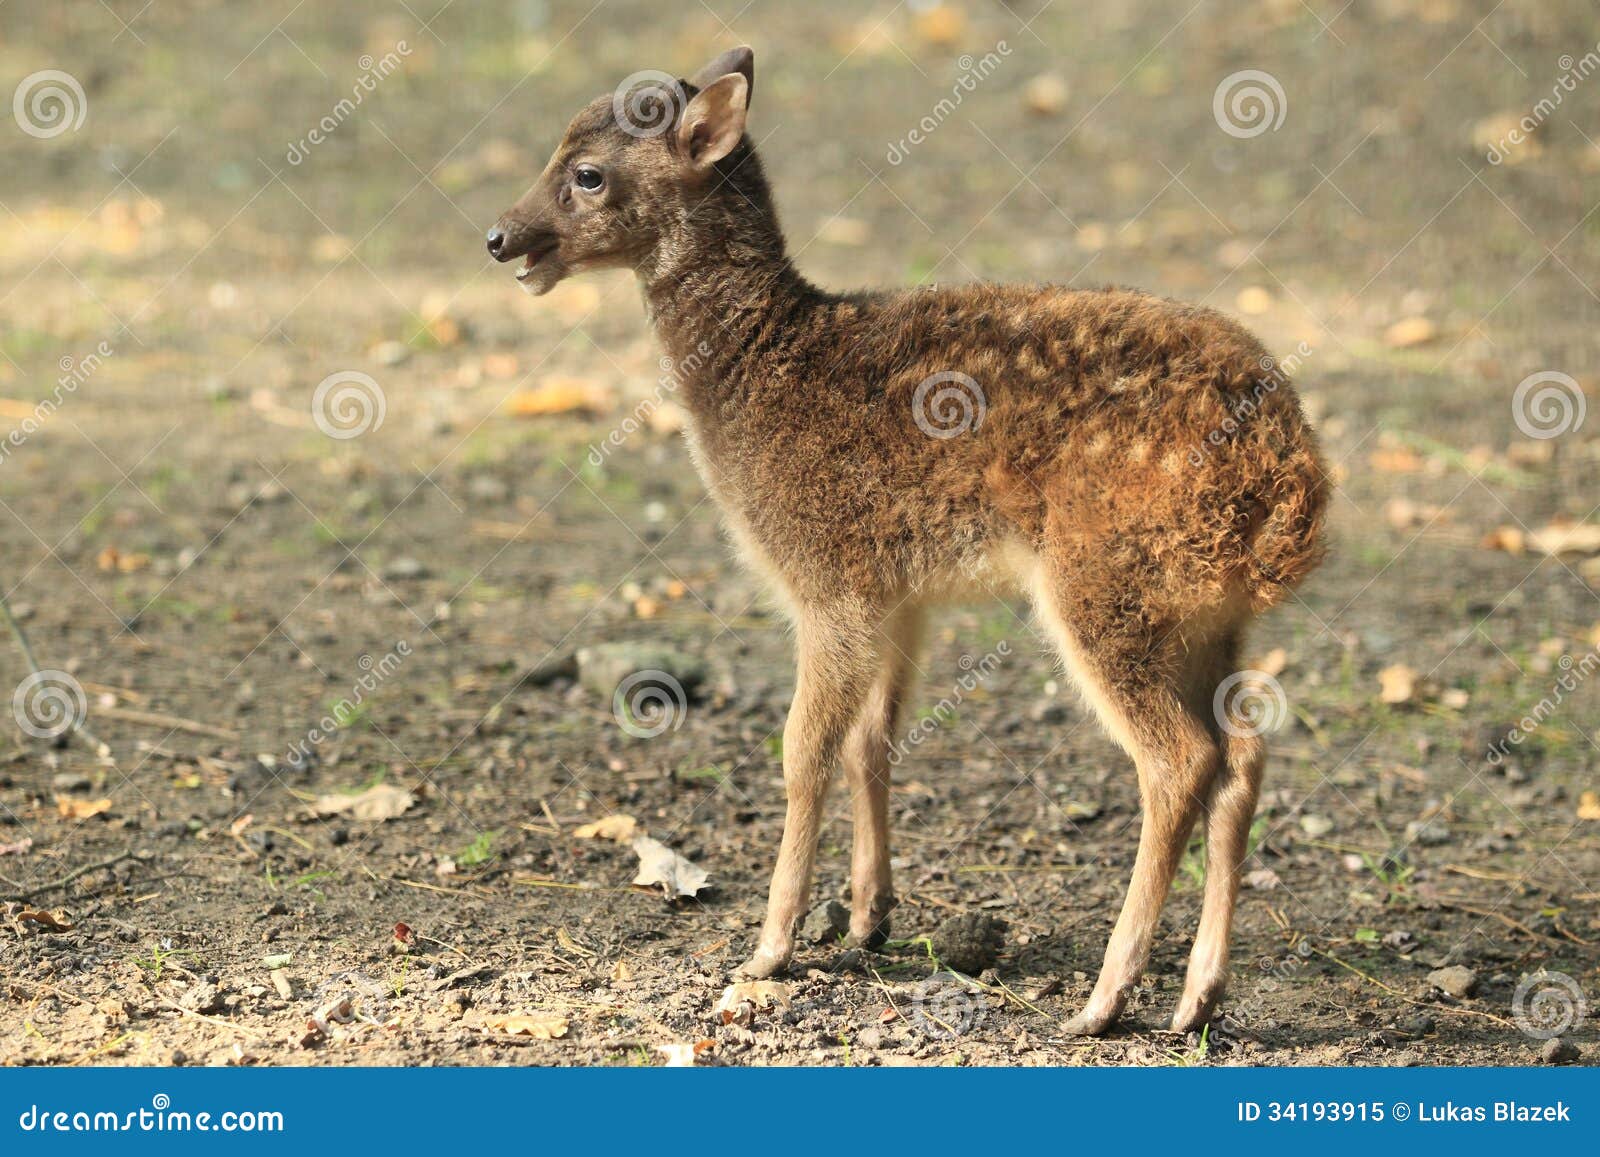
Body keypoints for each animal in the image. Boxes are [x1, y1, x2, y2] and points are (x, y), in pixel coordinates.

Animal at [487, 46, 1328, 1036]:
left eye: (587, 172)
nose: (500, 238)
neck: (764, 374)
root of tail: (1294, 486)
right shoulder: (898, 590)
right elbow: (872, 741)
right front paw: (866, 918)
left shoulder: (826, 577)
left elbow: (802, 750)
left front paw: (769, 947)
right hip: (1204, 614)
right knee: (1242, 754)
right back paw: (1197, 998)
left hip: (1103, 581)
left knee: (1179, 760)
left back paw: (1105, 998)